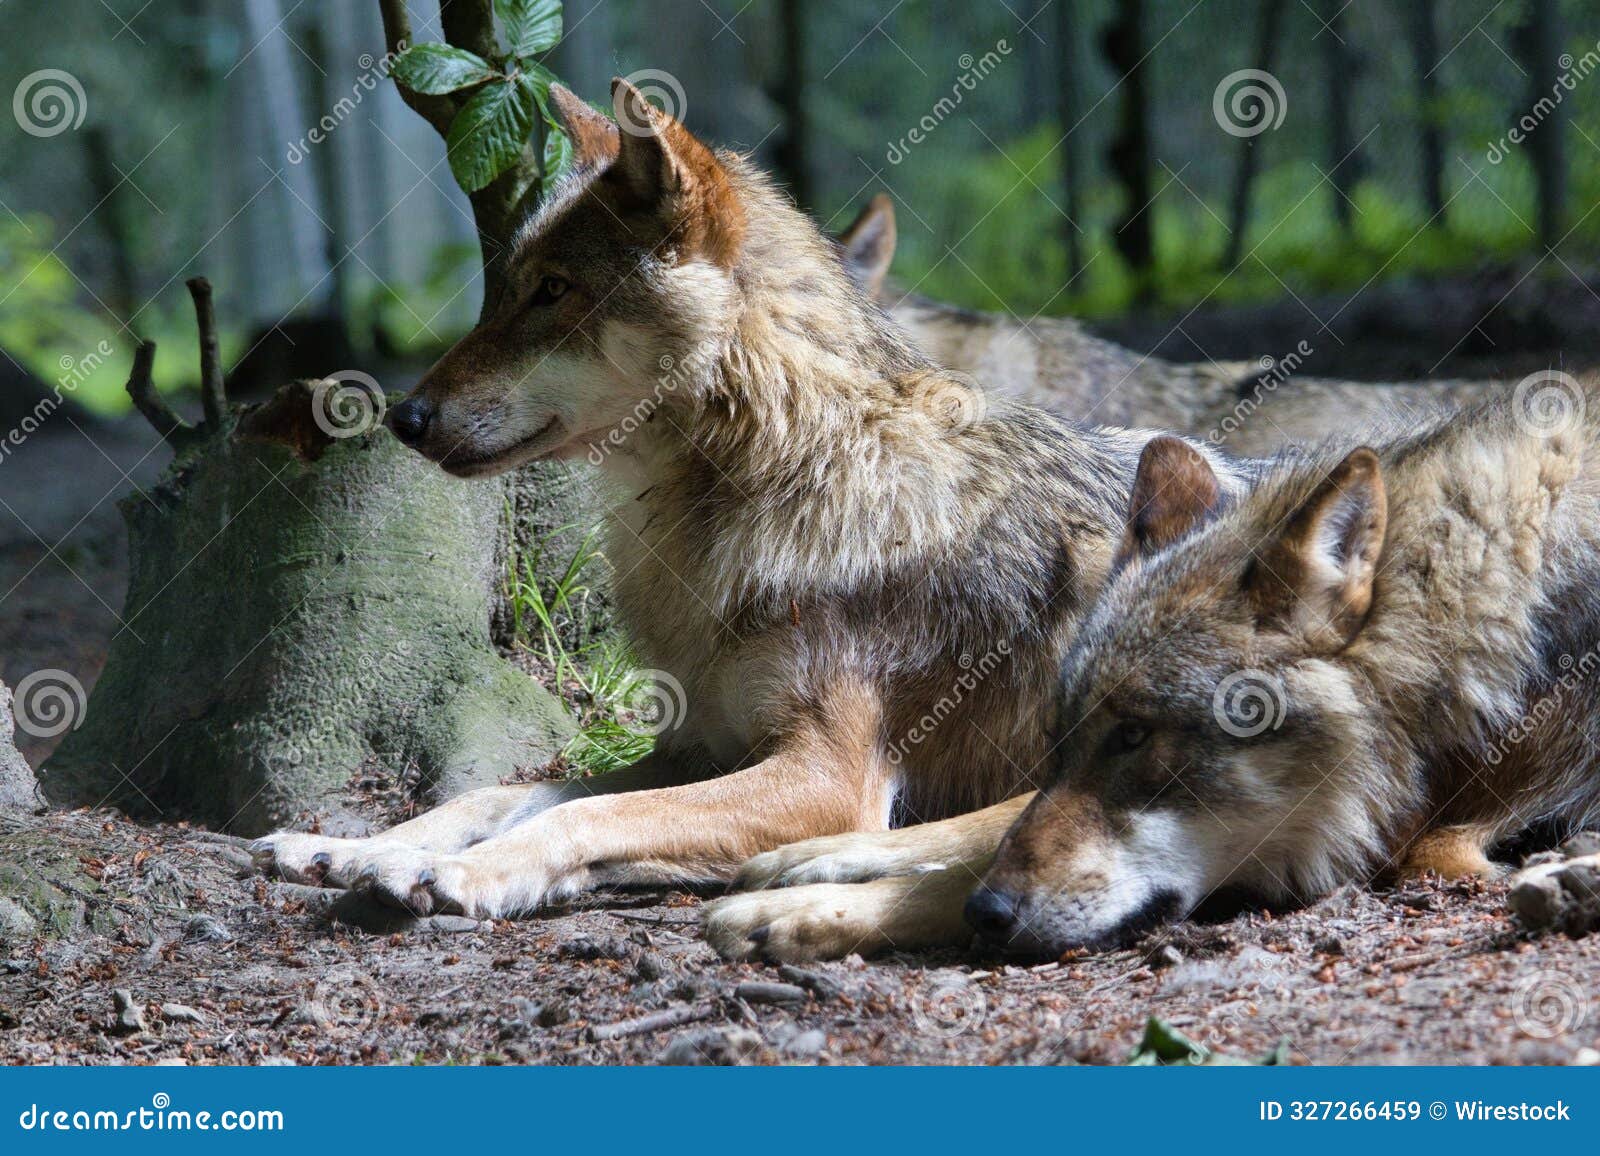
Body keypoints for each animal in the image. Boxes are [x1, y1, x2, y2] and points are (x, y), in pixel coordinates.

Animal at [249, 79, 1252, 926]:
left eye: (553, 292)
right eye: (506, 293)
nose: (405, 417)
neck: (764, 481)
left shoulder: (824, 774)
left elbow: (581, 814)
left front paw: (460, 870)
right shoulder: (701, 746)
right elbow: (507, 792)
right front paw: (360, 847)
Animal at [726, 386, 1600, 959]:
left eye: (1137, 738)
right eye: (1064, 742)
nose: (992, 912)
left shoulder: (1432, 844)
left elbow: (956, 873)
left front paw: (810, 910)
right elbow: (989, 827)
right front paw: (812, 862)